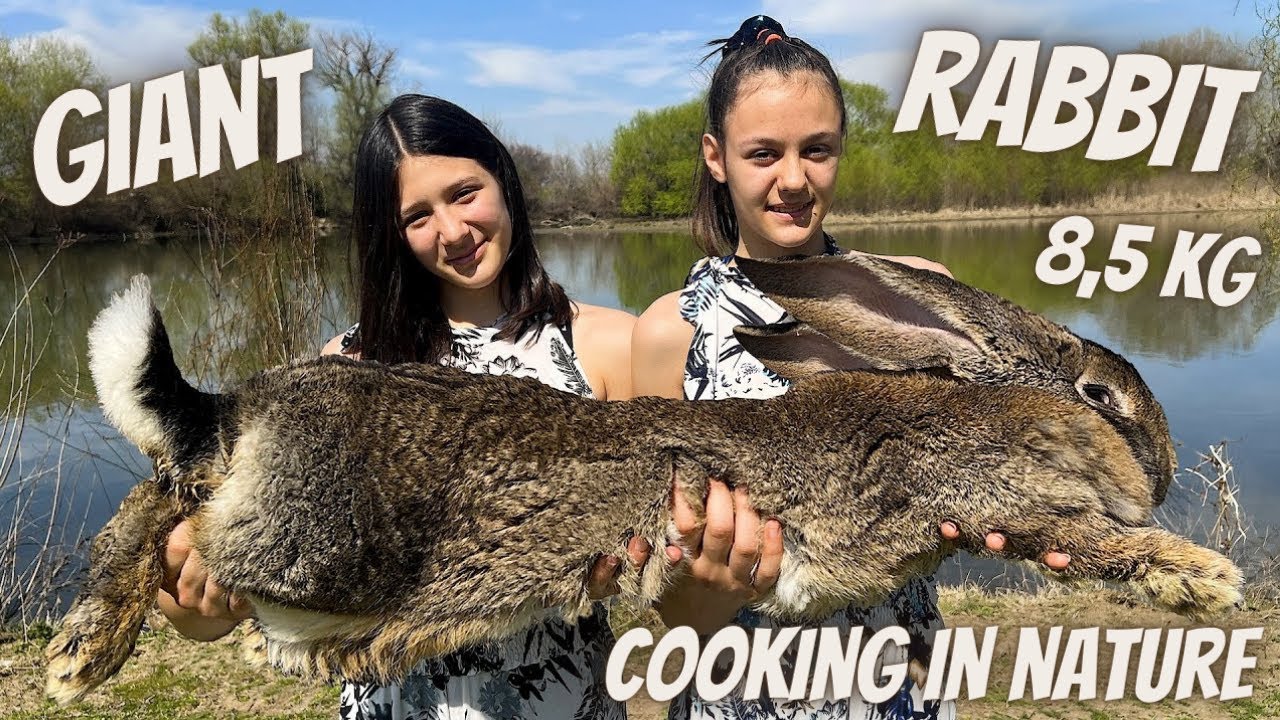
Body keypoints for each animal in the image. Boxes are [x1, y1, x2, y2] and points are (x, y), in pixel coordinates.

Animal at [45, 251, 1243, 705]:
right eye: (1100, 396)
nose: (1163, 469)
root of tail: (242, 408)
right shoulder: (987, 497)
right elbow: (1094, 542)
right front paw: (1202, 578)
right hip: (318, 543)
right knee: (163, 510)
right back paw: (78, 654)